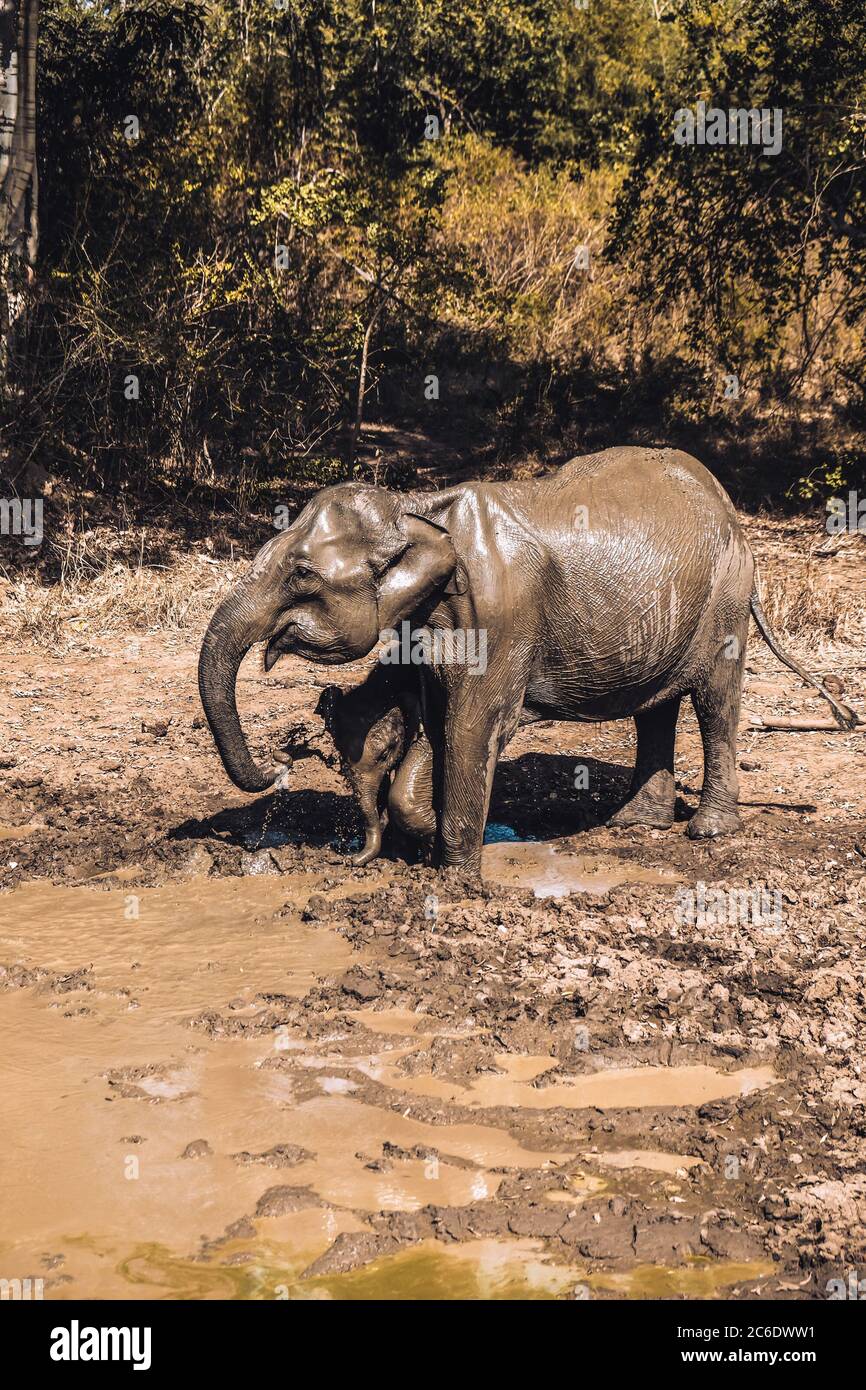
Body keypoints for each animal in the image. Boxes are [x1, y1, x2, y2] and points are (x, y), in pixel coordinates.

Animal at [198, 446, 855, 876]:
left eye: (302, 575)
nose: (280, 764)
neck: (415, 507)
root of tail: (727, 505)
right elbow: (440, 726)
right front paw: (432, 839)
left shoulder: (500, 613)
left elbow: (474, 725)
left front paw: (455, 878)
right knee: (656, 707)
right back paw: (633, 824)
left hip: (725, 596)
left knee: (714, 702)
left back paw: (706, 831)